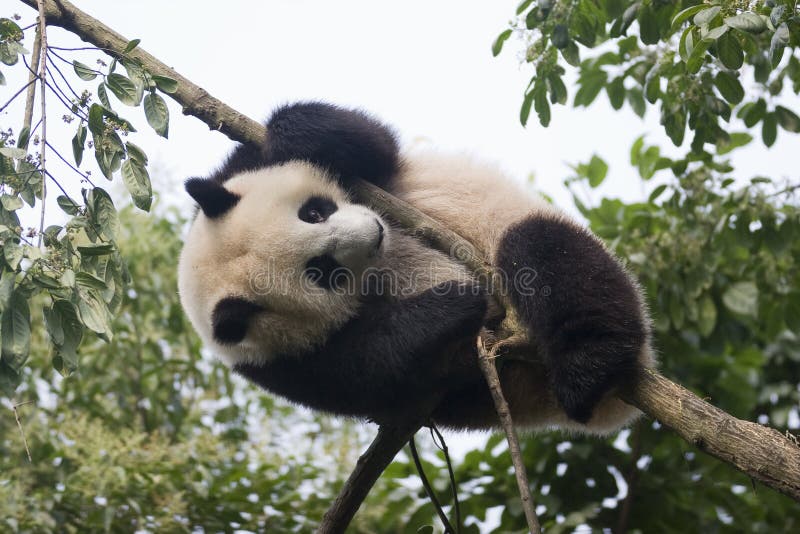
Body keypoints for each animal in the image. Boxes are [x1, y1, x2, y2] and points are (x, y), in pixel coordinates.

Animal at [178, 102, 655, 434]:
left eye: (313, 212)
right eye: (321, 270)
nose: (374, 231)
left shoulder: (237, 171)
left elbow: (364, 140)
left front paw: (289, 140)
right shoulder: (278, 363)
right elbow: (370, 366)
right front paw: (454, 302)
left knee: (546, 252)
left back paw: (588, 366)